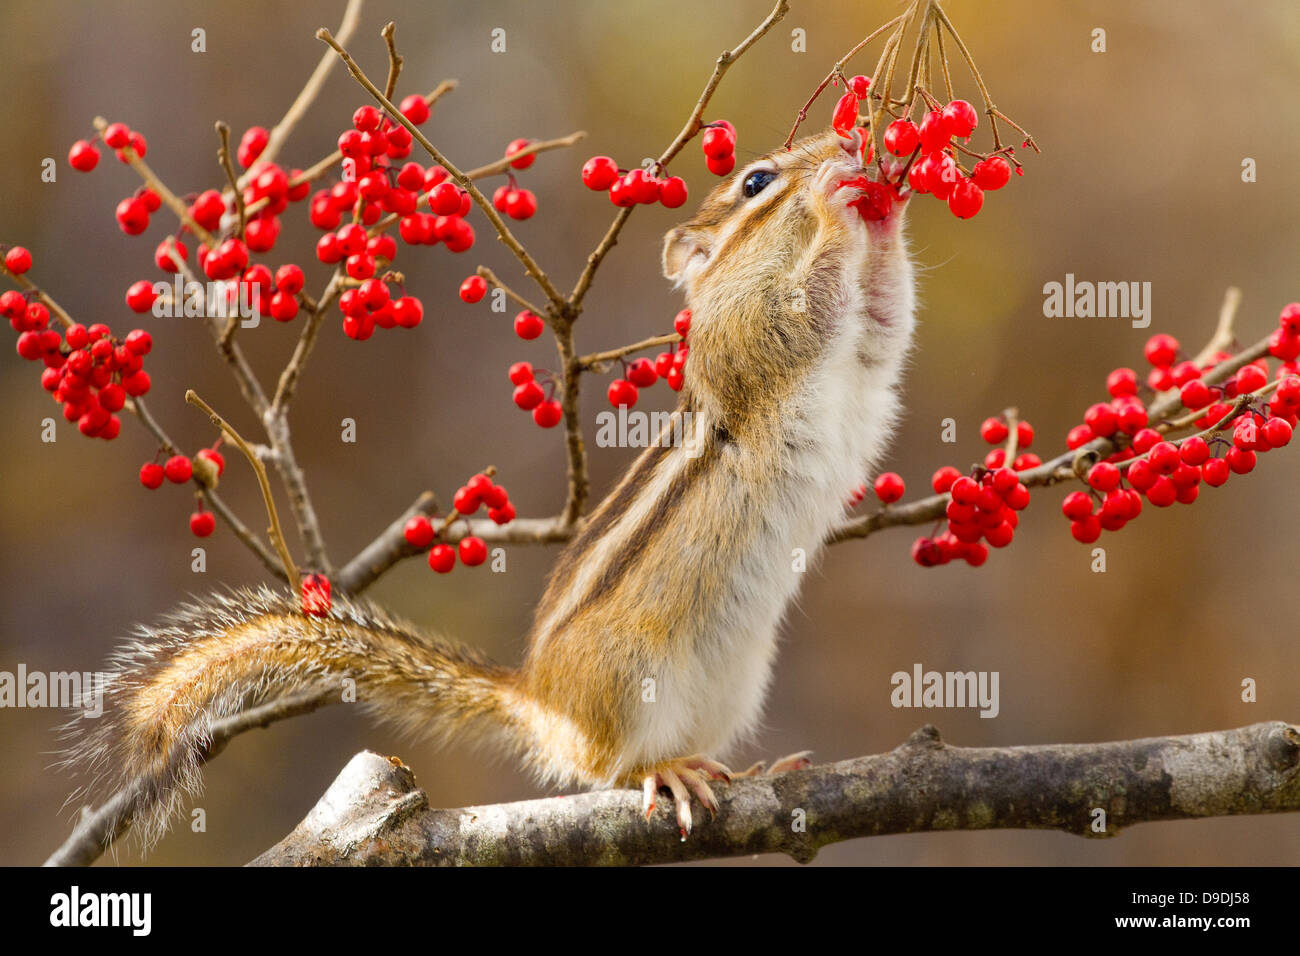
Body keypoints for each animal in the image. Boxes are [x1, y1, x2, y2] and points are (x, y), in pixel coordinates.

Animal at [62, 126, 917, 846]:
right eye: (756, 181)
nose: (845, 143)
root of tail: (539, 699)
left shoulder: (864, 353)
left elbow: (883, 319)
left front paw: (884, 209)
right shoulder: (754, 339)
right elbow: (808, 311)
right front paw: (838, 205)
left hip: (735, 686)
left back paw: (747, 769)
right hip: (628, 679)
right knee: (607, 766)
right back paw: (663, 772)